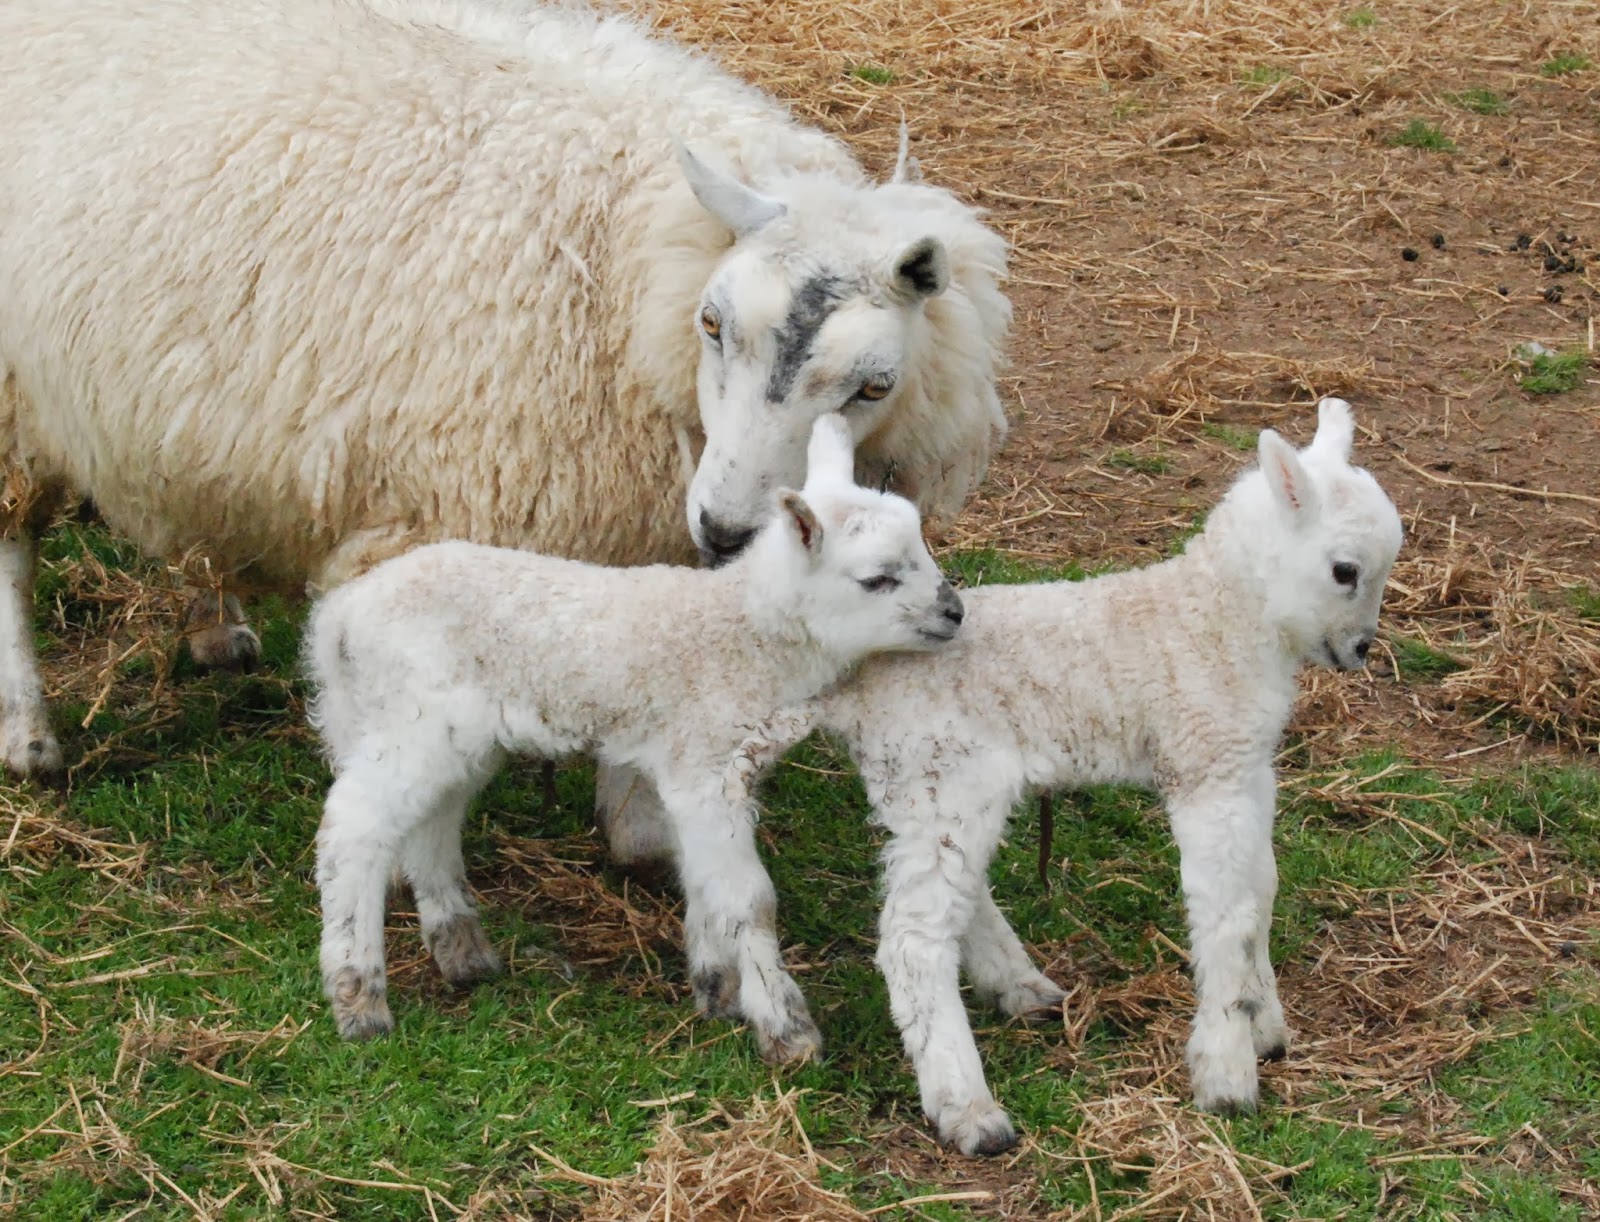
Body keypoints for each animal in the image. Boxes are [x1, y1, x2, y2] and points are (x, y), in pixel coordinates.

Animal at [0, 0, 1009, 783]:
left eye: (875, 384)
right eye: (713, 323)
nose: (725, 531)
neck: (629, 272)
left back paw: (216, 623)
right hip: (13, 397)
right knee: (11, 545)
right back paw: (29, 736)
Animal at [305, 415, 966, 1060]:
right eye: (877, 580)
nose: (954, 612)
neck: (749, 636)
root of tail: (342, 617)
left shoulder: (700, 771)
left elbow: (705, 880)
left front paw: (718, 989)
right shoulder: (704, 767)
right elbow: (751, 900)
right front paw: (785, 1027)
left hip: (453, 736)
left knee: (430, 821)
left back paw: (463, 954)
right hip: (411, 719)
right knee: (354, 826)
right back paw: (359, 1000)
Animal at [713, 399, 1404, 1155]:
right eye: (1344, 570)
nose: (1360, 651)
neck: (1217, 621)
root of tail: (853, 677)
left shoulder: (1245, 767)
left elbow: (1262, 889)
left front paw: (1266, 1026)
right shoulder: (1203, 766)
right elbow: (1226, 913)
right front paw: (1226, 1074)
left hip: (924, 787)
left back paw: (1019, 988)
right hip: (948, 776)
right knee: (913, 938)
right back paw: (969, 1109)